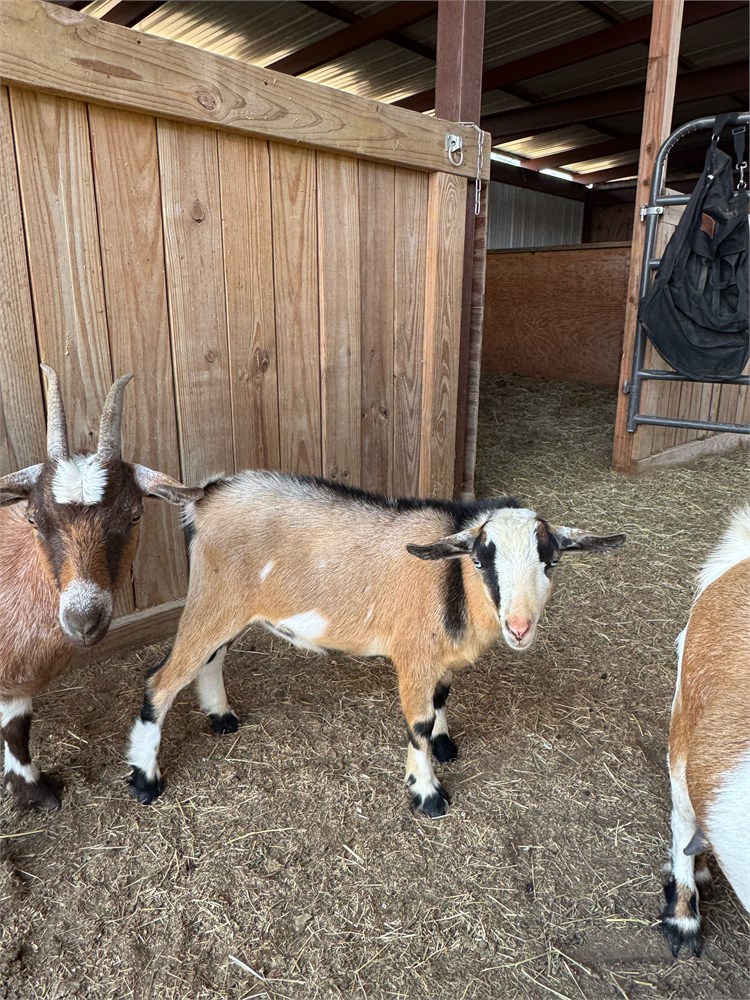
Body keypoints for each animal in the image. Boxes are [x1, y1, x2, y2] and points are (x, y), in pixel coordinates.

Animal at [127, 471, 624, 816]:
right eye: (482, 560)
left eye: (551, 559)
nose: (520, 627)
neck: (452, 583)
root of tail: (204, 495)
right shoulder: (413, 654)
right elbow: (418, 723)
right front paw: (427, 794)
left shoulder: (437, 659)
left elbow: (439, 701)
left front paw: (444, 745)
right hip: (213, 598)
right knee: (161, 680)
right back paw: (146, 779)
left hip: (229, 606)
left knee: (211, 658)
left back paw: (222, 717)